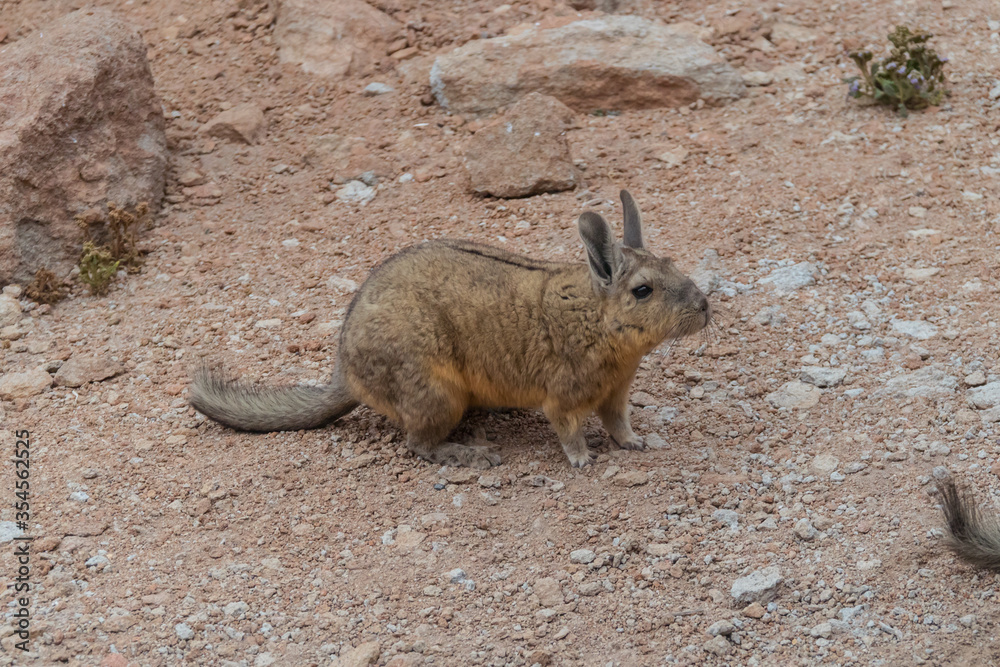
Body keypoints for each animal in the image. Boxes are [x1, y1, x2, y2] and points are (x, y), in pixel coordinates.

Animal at [190, 190, 712, 468]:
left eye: (673, 262)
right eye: (643, 290)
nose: (706, 307)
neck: (599, 324)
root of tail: (345, 377)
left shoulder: (616, 394)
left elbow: (620, 424)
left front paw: (638, 443)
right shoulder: (561, 397)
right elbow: (569, 432)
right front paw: (583, 460)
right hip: (437, 393)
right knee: (418, 445)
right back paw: (474, 453)